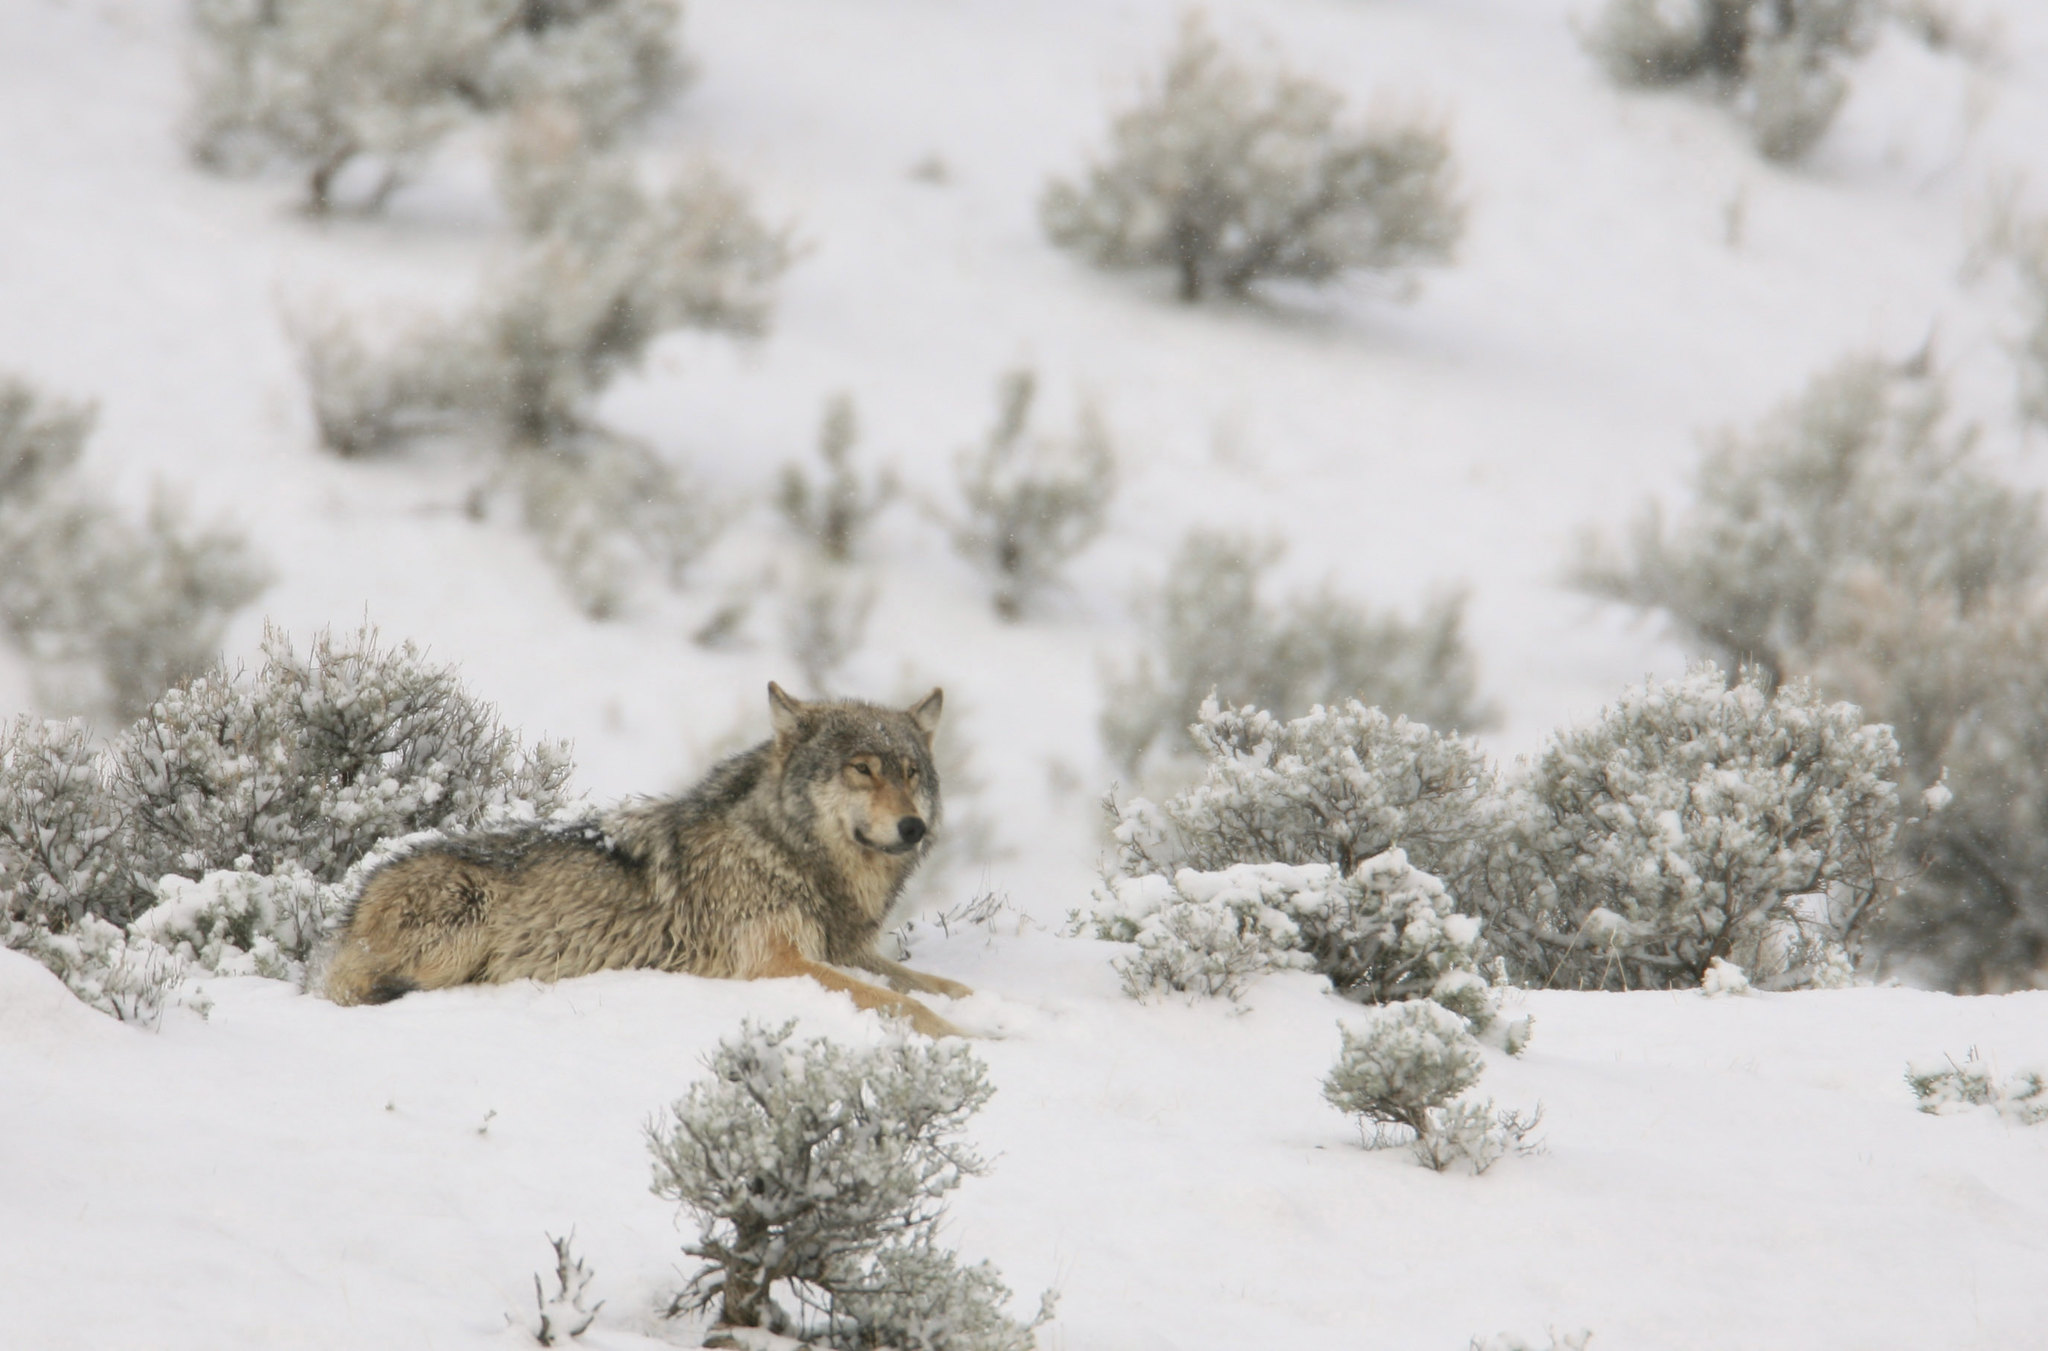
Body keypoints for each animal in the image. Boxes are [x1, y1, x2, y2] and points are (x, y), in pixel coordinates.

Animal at [322, 683, 972, 1036]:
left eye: (910, 773)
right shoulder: (775, 960)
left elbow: (943, 986)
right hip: (465, 918)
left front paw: (988, 1013)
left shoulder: (848, 952)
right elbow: (906, 1004)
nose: (913, 828)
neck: (785, 851)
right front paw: (971, 1037)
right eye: (862, 768)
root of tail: (353, 908)